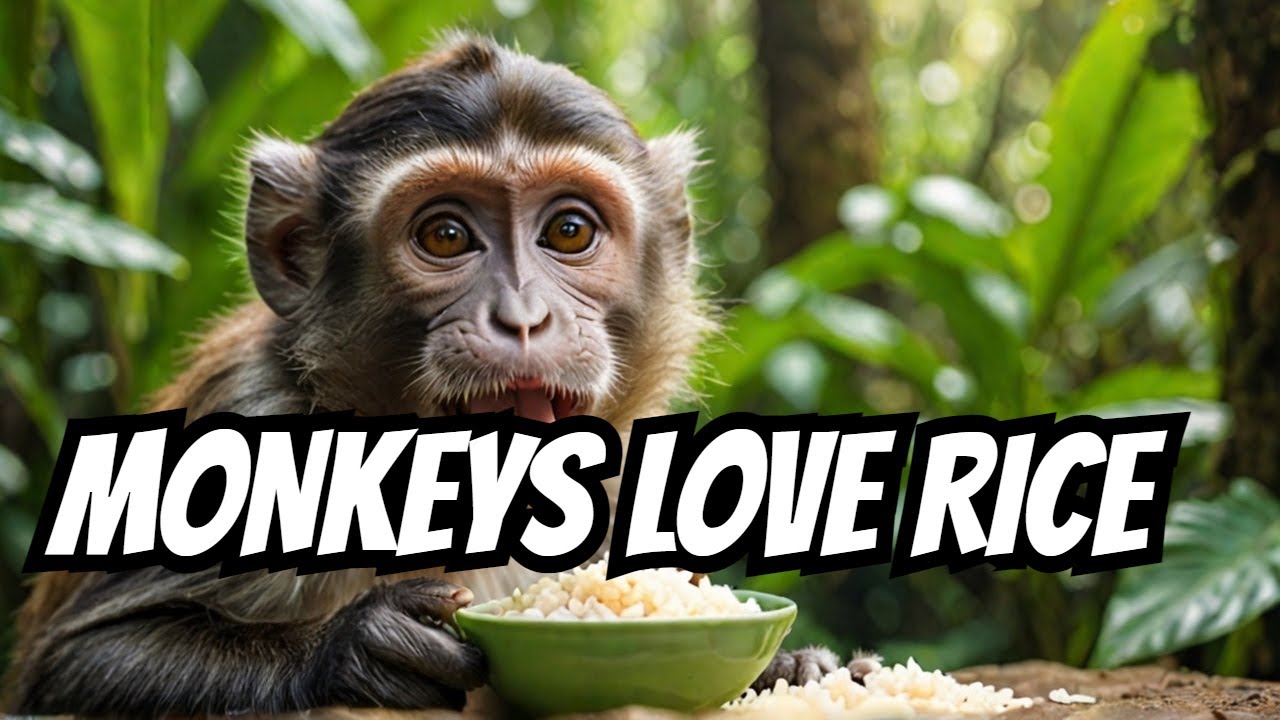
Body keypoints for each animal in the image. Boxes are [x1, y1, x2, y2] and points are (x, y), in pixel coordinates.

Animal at [6, 33, 870, 717]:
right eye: (446, 236)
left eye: (569, 230)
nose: (522, 318)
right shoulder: (247, 412)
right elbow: (78, 662)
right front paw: (359, 646)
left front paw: (794, 671)